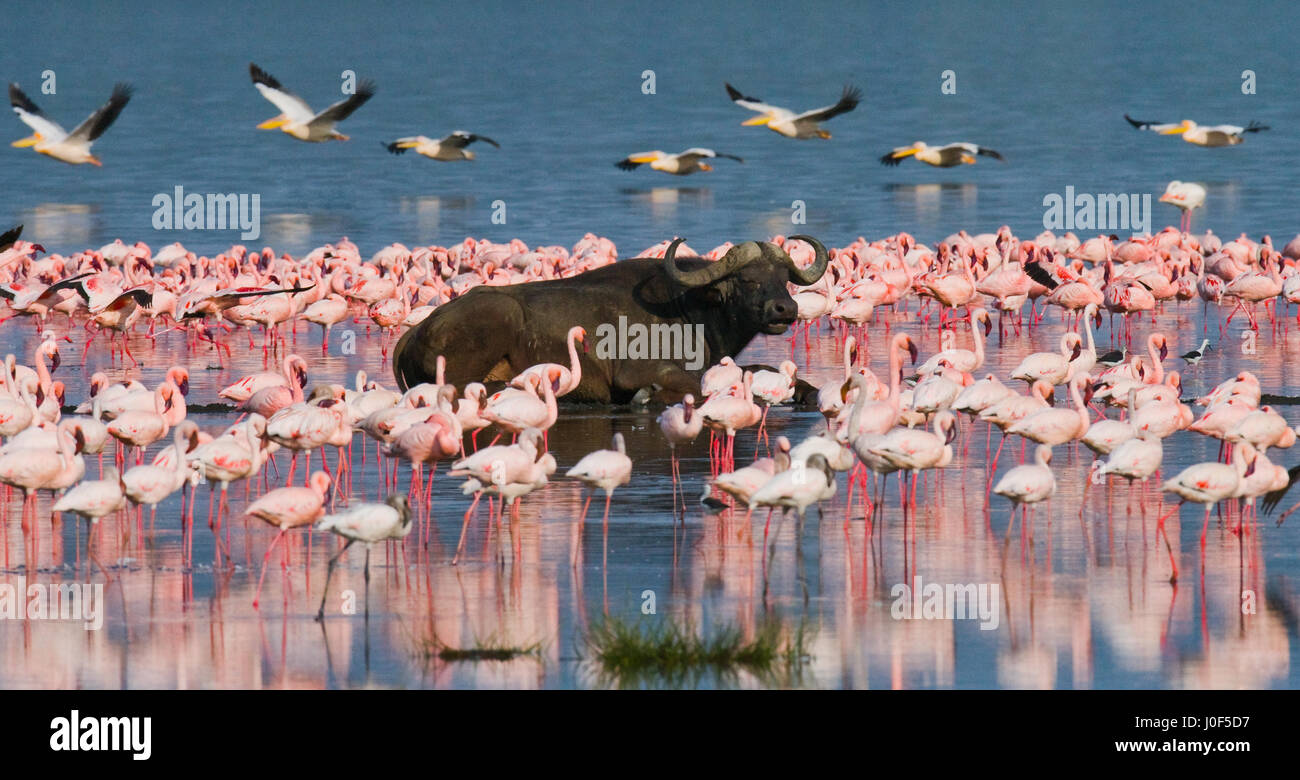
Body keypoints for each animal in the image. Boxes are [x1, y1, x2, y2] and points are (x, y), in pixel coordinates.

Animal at [393, 236, 830, 403]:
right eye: (747, 280)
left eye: (782, 278)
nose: (785, 310)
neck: (691, 310)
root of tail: (416, 332)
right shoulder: (640, 373)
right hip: (498, 318)